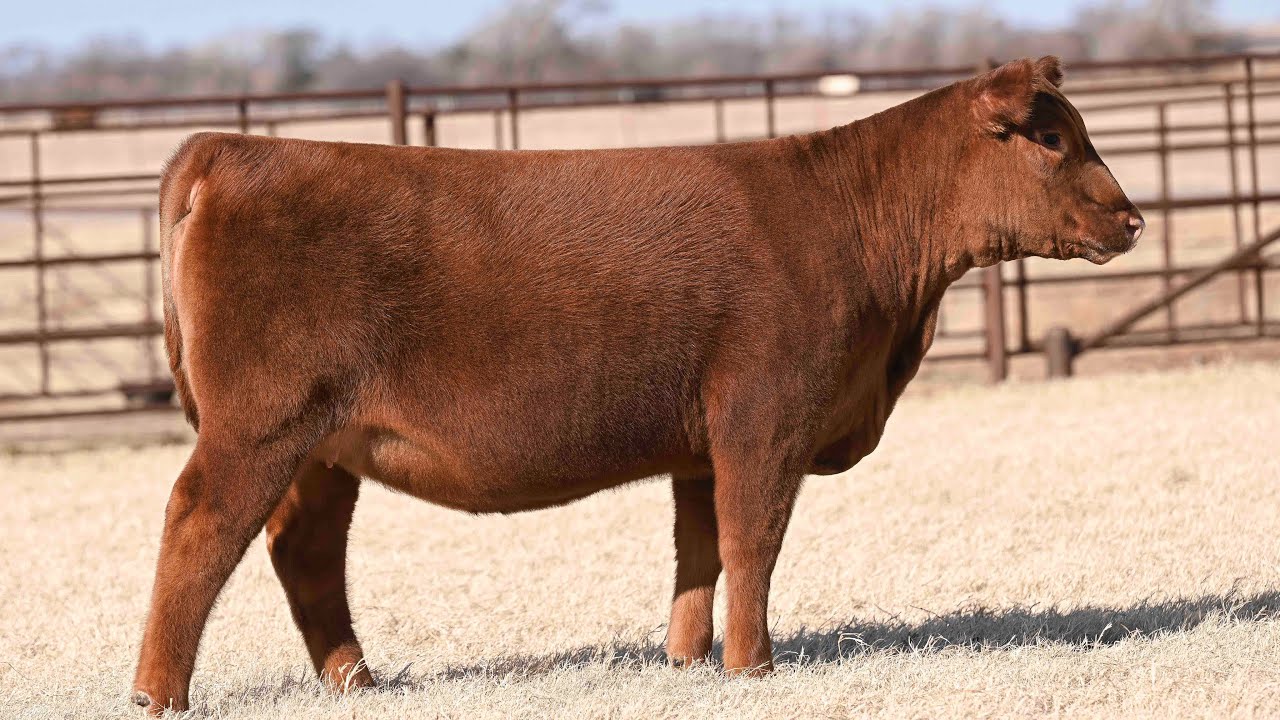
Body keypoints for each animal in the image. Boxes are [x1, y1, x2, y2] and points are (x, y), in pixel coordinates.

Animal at [131, 56, 1142, 713]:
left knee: (303, 550)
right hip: (261, 423)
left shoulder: (700, 442)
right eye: (1053, 136)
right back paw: (159, 693)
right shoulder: (765, 417)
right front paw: (754, 668)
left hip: (321, 445)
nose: (1132, 219)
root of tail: (228, 148)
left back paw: (357, 683)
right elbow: (752, 541)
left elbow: (699, 551)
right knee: (198, 525)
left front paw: (689, 663)